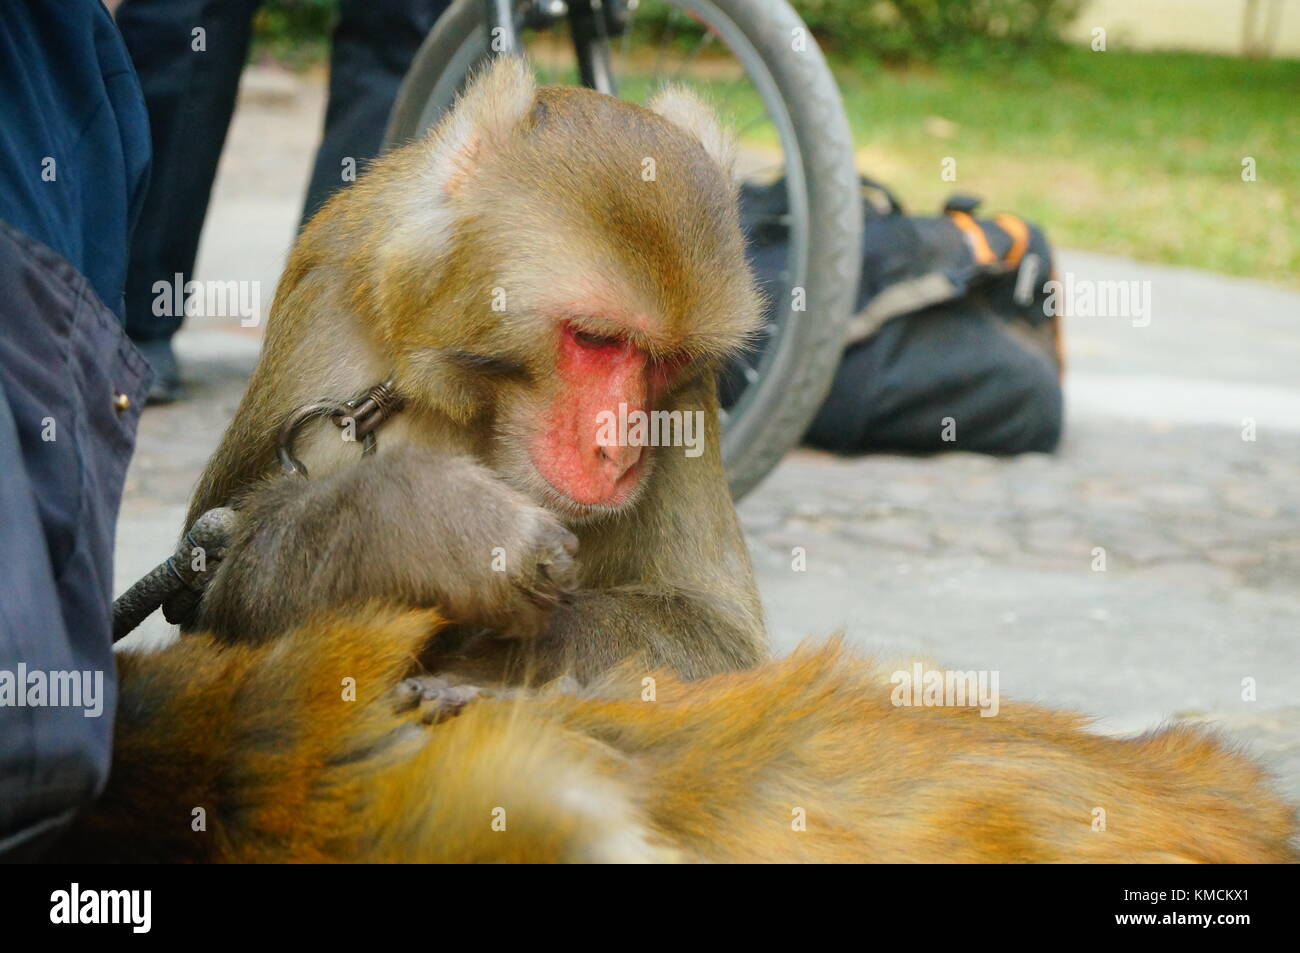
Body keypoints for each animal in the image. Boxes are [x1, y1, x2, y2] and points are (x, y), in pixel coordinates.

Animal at [182, 57, 766, 686]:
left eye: (669, 359)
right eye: (594, 338)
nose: (621, 452)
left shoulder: (690, 396)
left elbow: (719, 636)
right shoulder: (324, 325)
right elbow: (212, 605)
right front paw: (427, 527)